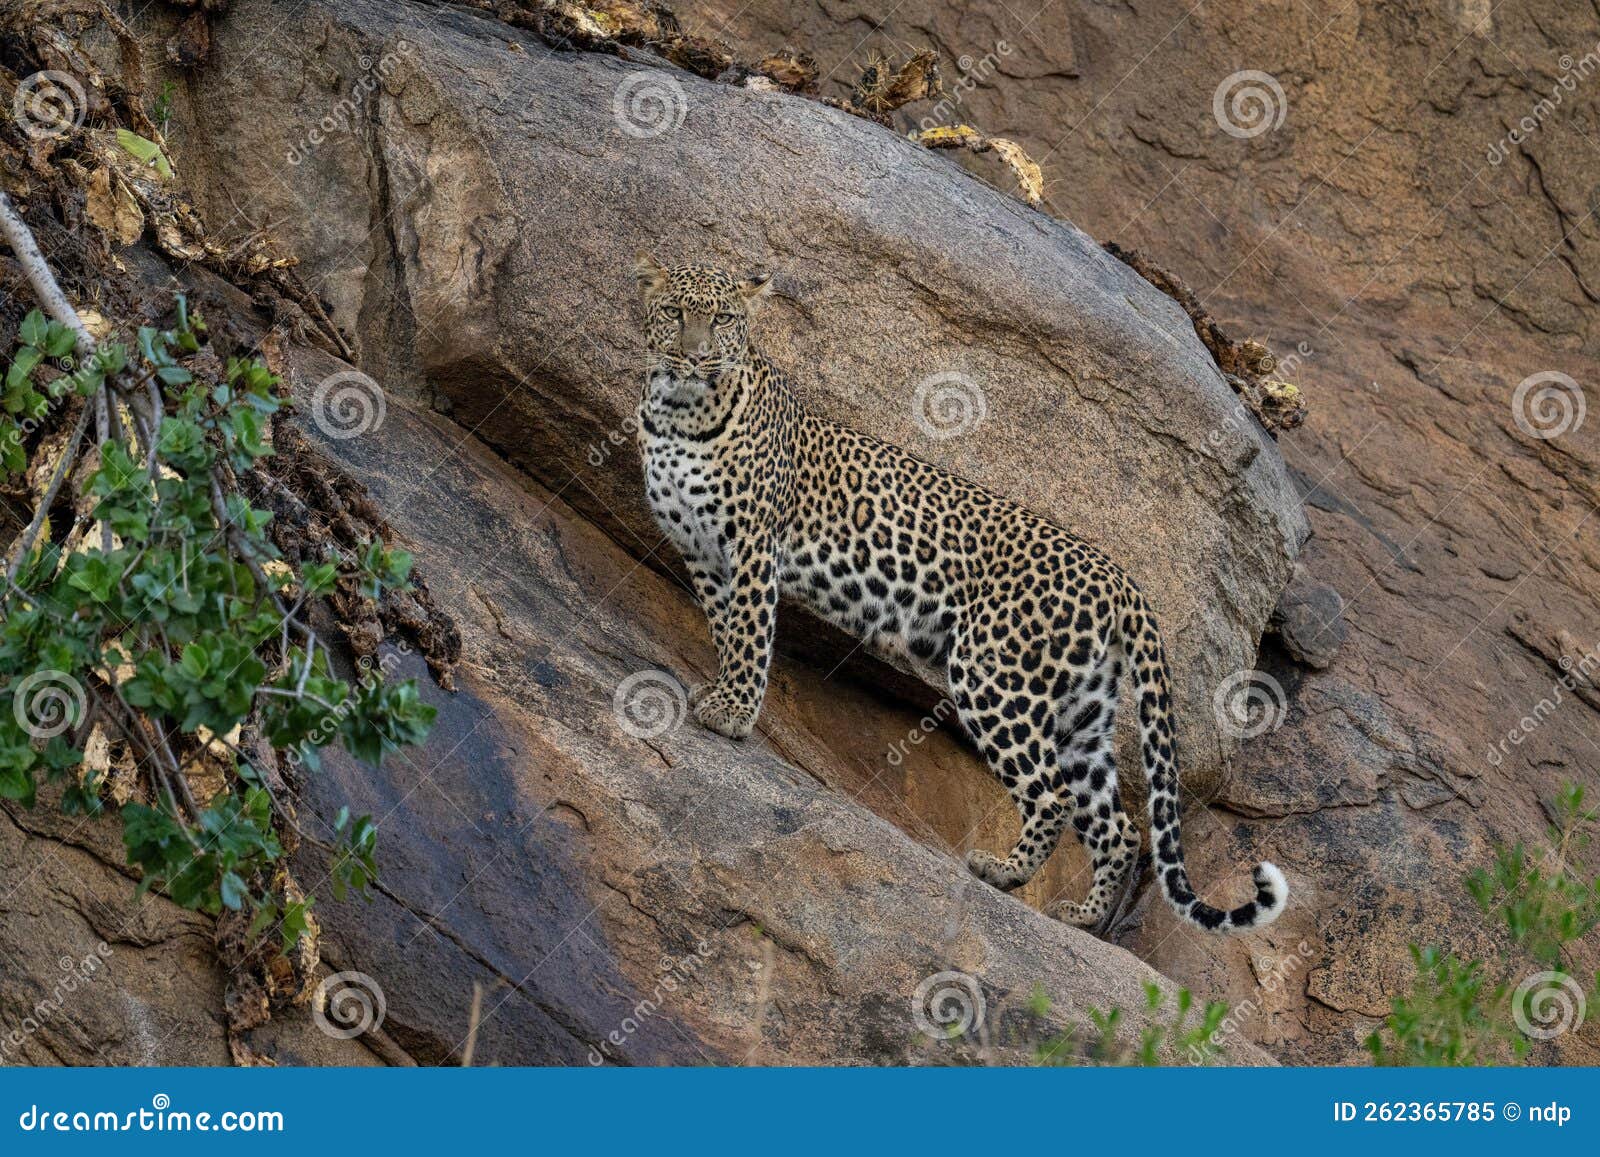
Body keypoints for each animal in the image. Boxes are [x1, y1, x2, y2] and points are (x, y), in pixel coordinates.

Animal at [632, 255, 1288, 934]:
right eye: (675, 312)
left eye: (722, 320)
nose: (693, 356)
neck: (680, 414)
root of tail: (1118, 576)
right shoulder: (700, 553)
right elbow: (725, 629)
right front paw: (720, 691)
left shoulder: (754, 548)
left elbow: (750, 634)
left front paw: (733, 714)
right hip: (1083, 713)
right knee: (1118, 825)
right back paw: (1081, 916)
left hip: (992, 675)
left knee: (1052, 794)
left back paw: (1004, 872)